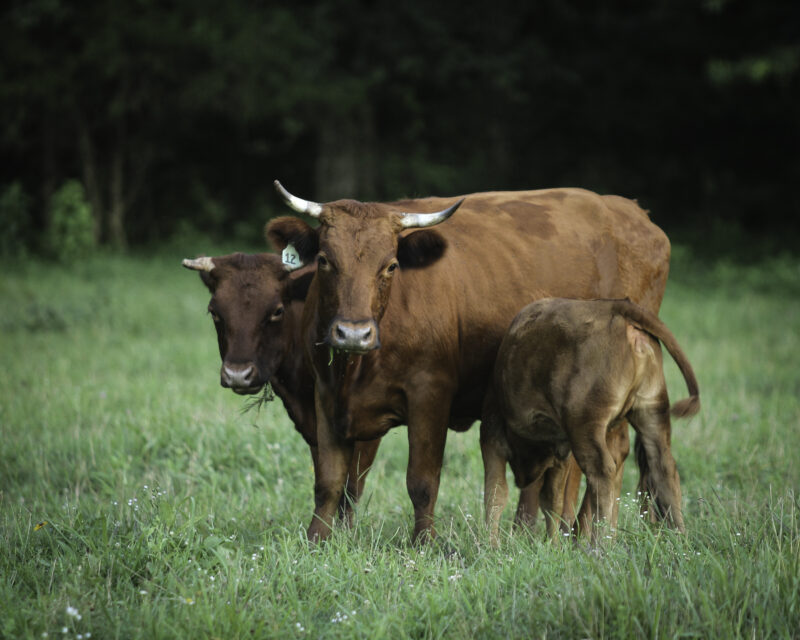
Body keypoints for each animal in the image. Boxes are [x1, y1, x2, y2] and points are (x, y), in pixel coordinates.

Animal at [267, 183, 671, 543]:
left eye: (391, 266)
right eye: (324, 260)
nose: (353, 334)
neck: (355, 371)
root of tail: (632, 211)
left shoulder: (430, 393)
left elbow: (422, 480)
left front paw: (423, 544)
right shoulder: (325, 394)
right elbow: (329, 481)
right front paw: (317, 540)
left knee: (603, 458)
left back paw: (584, 534)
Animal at [481, 298, 700, 545]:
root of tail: (616, 307)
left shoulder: (492, 433)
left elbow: (495, 493)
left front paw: (490, 544)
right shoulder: (560, 449)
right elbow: (552, 499)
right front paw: (553, 545)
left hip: (586, 425)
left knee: (602, 473)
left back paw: (599, 545)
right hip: (652, 411)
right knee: (664, 468)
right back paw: (680, 540)